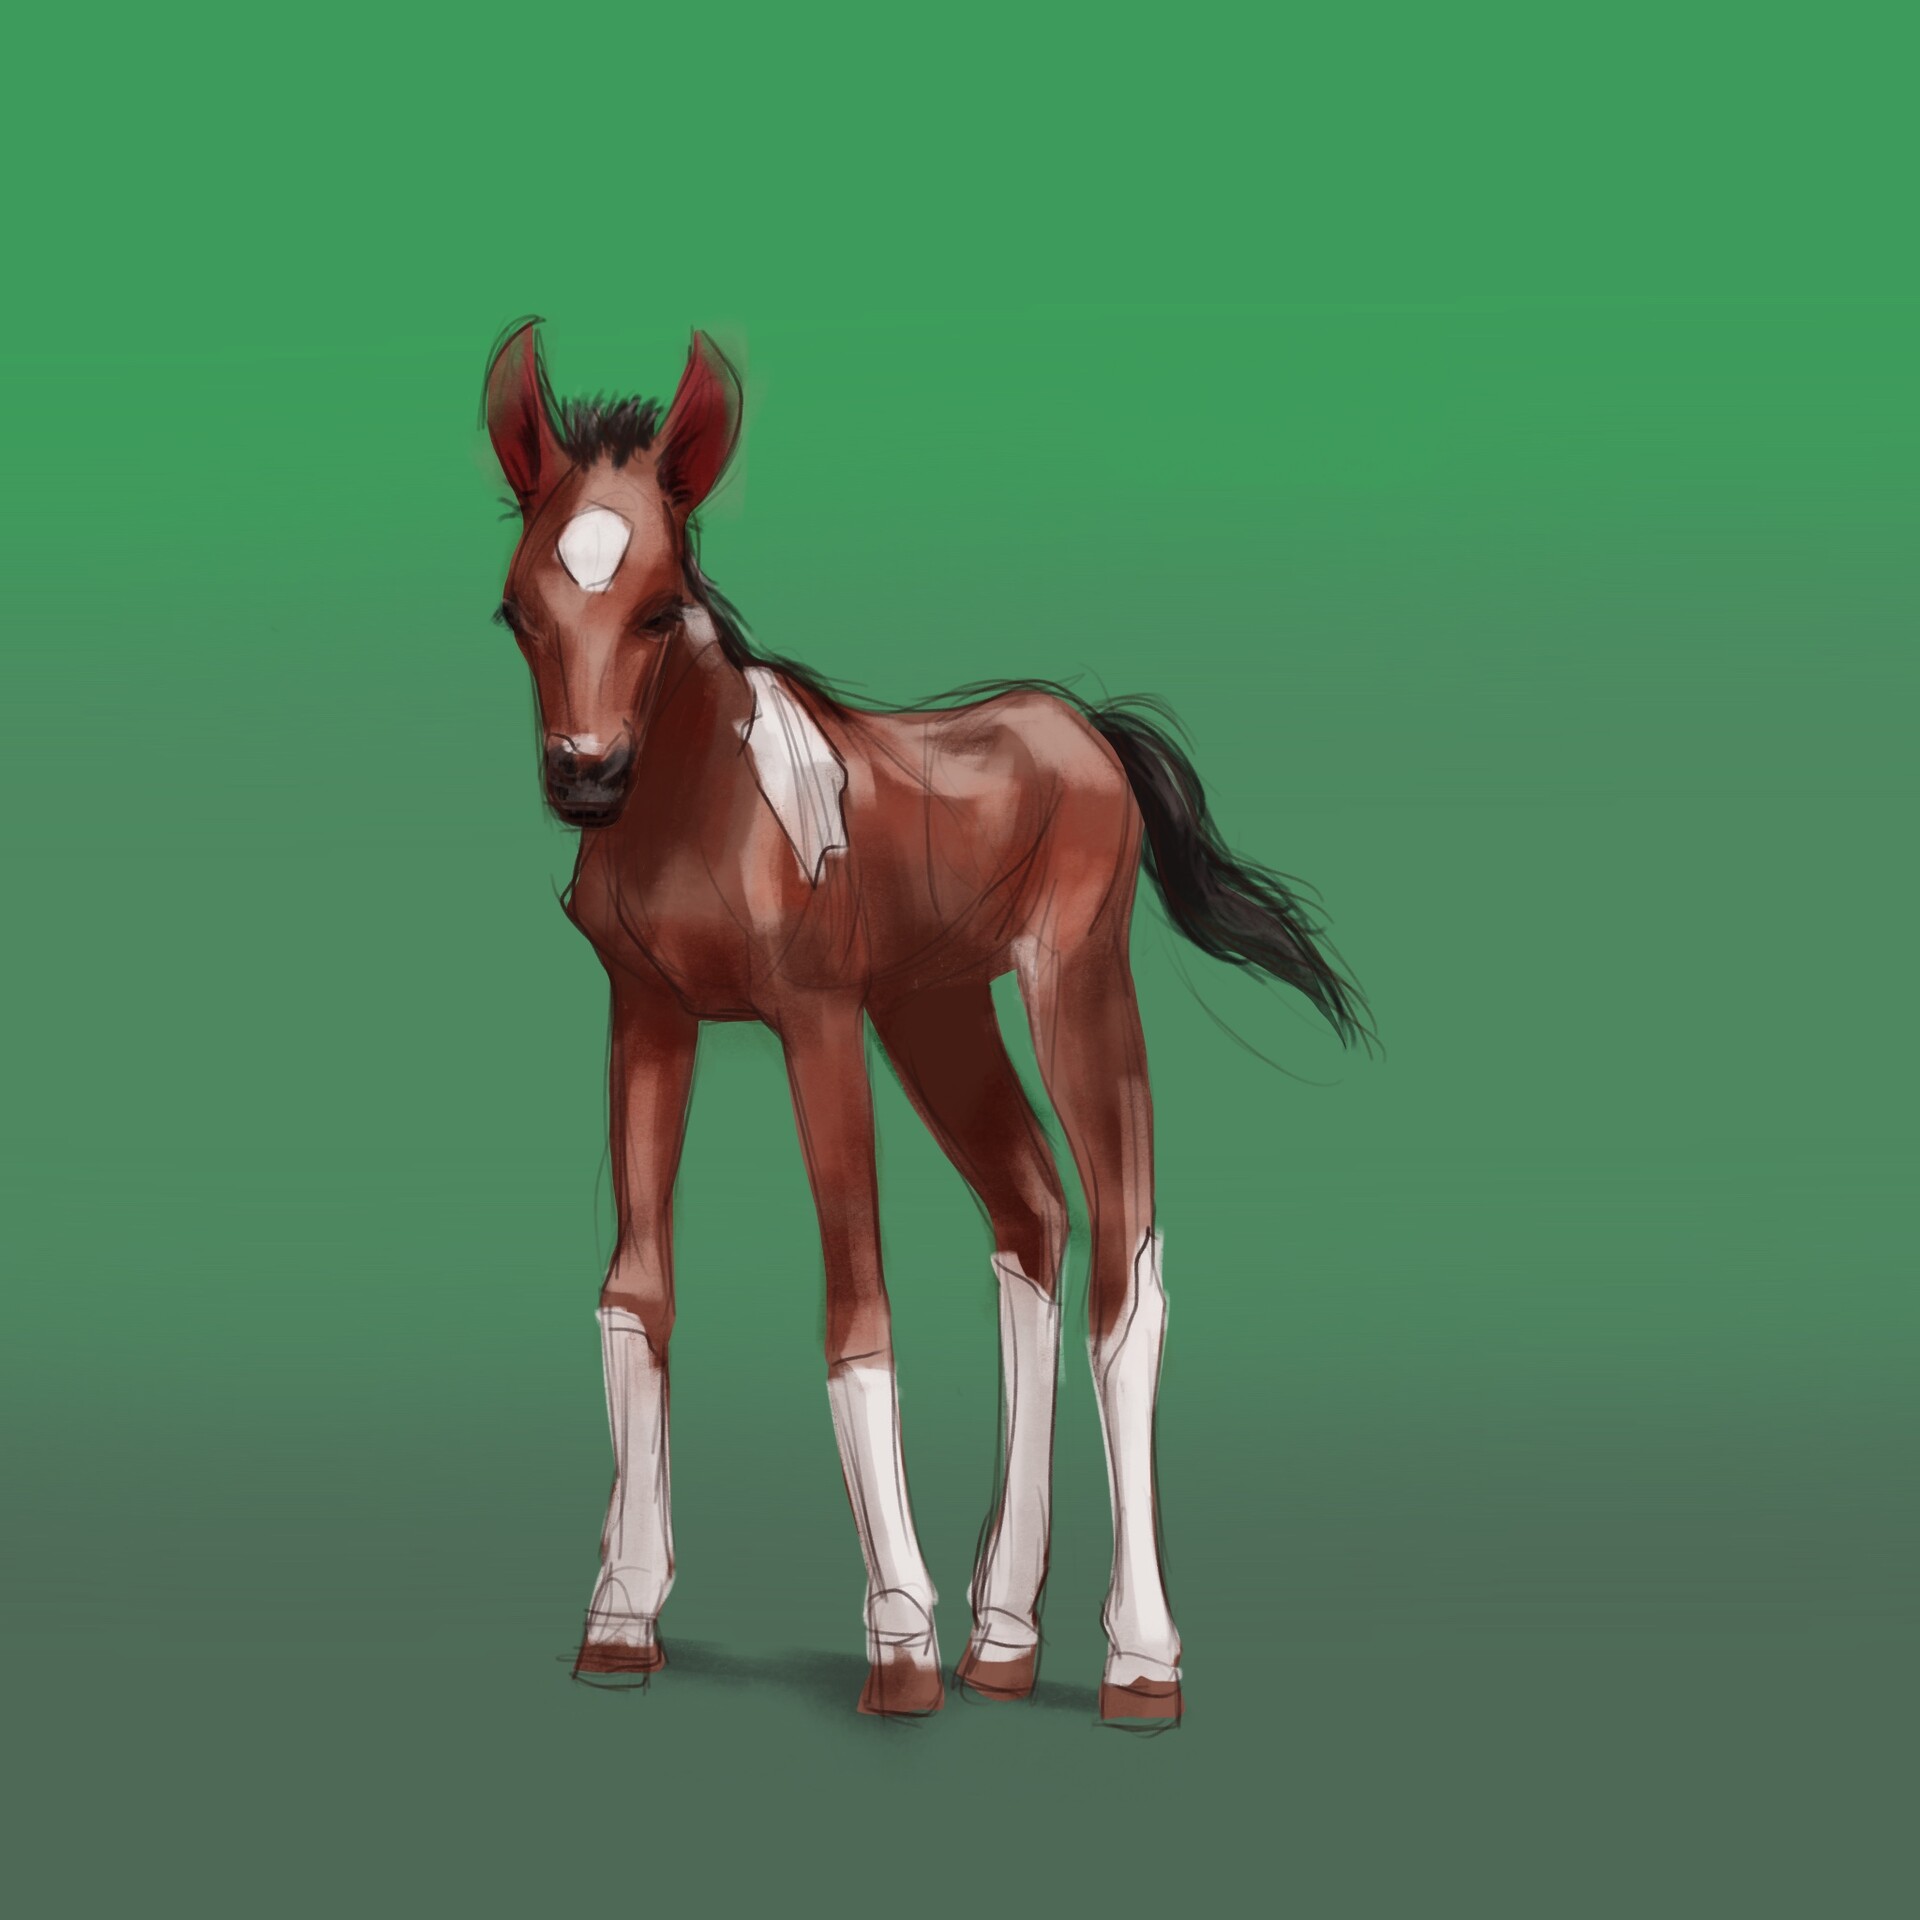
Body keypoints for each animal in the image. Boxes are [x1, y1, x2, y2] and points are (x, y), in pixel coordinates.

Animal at [480, 321, 1370, 1722]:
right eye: (518, 610)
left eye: (661, 607)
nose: (586, 778)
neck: (705, 804)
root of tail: (1085, 727)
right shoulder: (649, 1017)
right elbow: (638, 1291)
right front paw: (620, 1622)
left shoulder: (815, 1022)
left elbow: (858, 1304)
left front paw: (896, 1646)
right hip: (939, 1016)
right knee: (1033, 1218)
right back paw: (1001, 1639)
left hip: (1071, 992)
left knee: (1126, 1265)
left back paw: (1137, 1662)